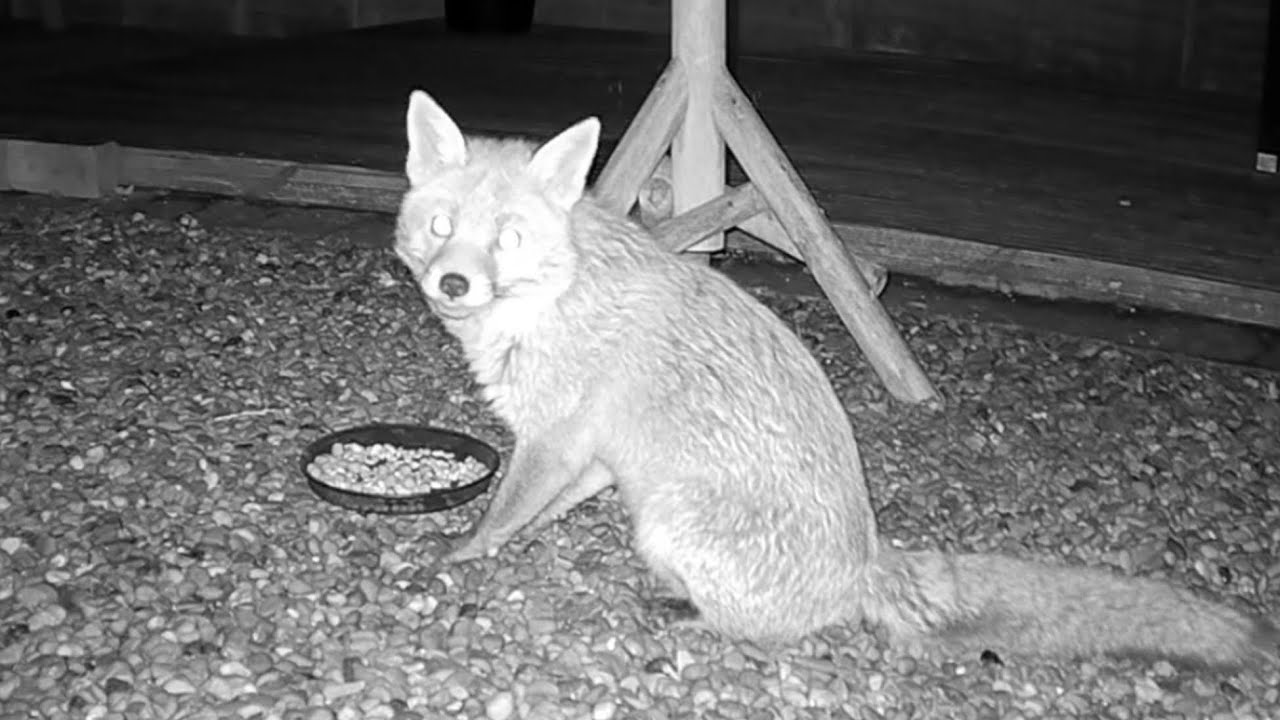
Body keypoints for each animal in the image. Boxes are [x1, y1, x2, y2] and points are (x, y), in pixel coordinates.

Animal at [392, 89, 1279, 670]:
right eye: (440, 226)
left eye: (507, 239)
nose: (454, 284)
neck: (552, 297)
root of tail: (866, 561)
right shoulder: (595, 457)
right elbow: (538, 511)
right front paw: (511, 542)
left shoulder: (552, 437)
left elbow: (501, 511)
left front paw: (462, 553)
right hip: (653, 513)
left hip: (670, 519)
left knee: (765, 629)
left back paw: (688, 619)